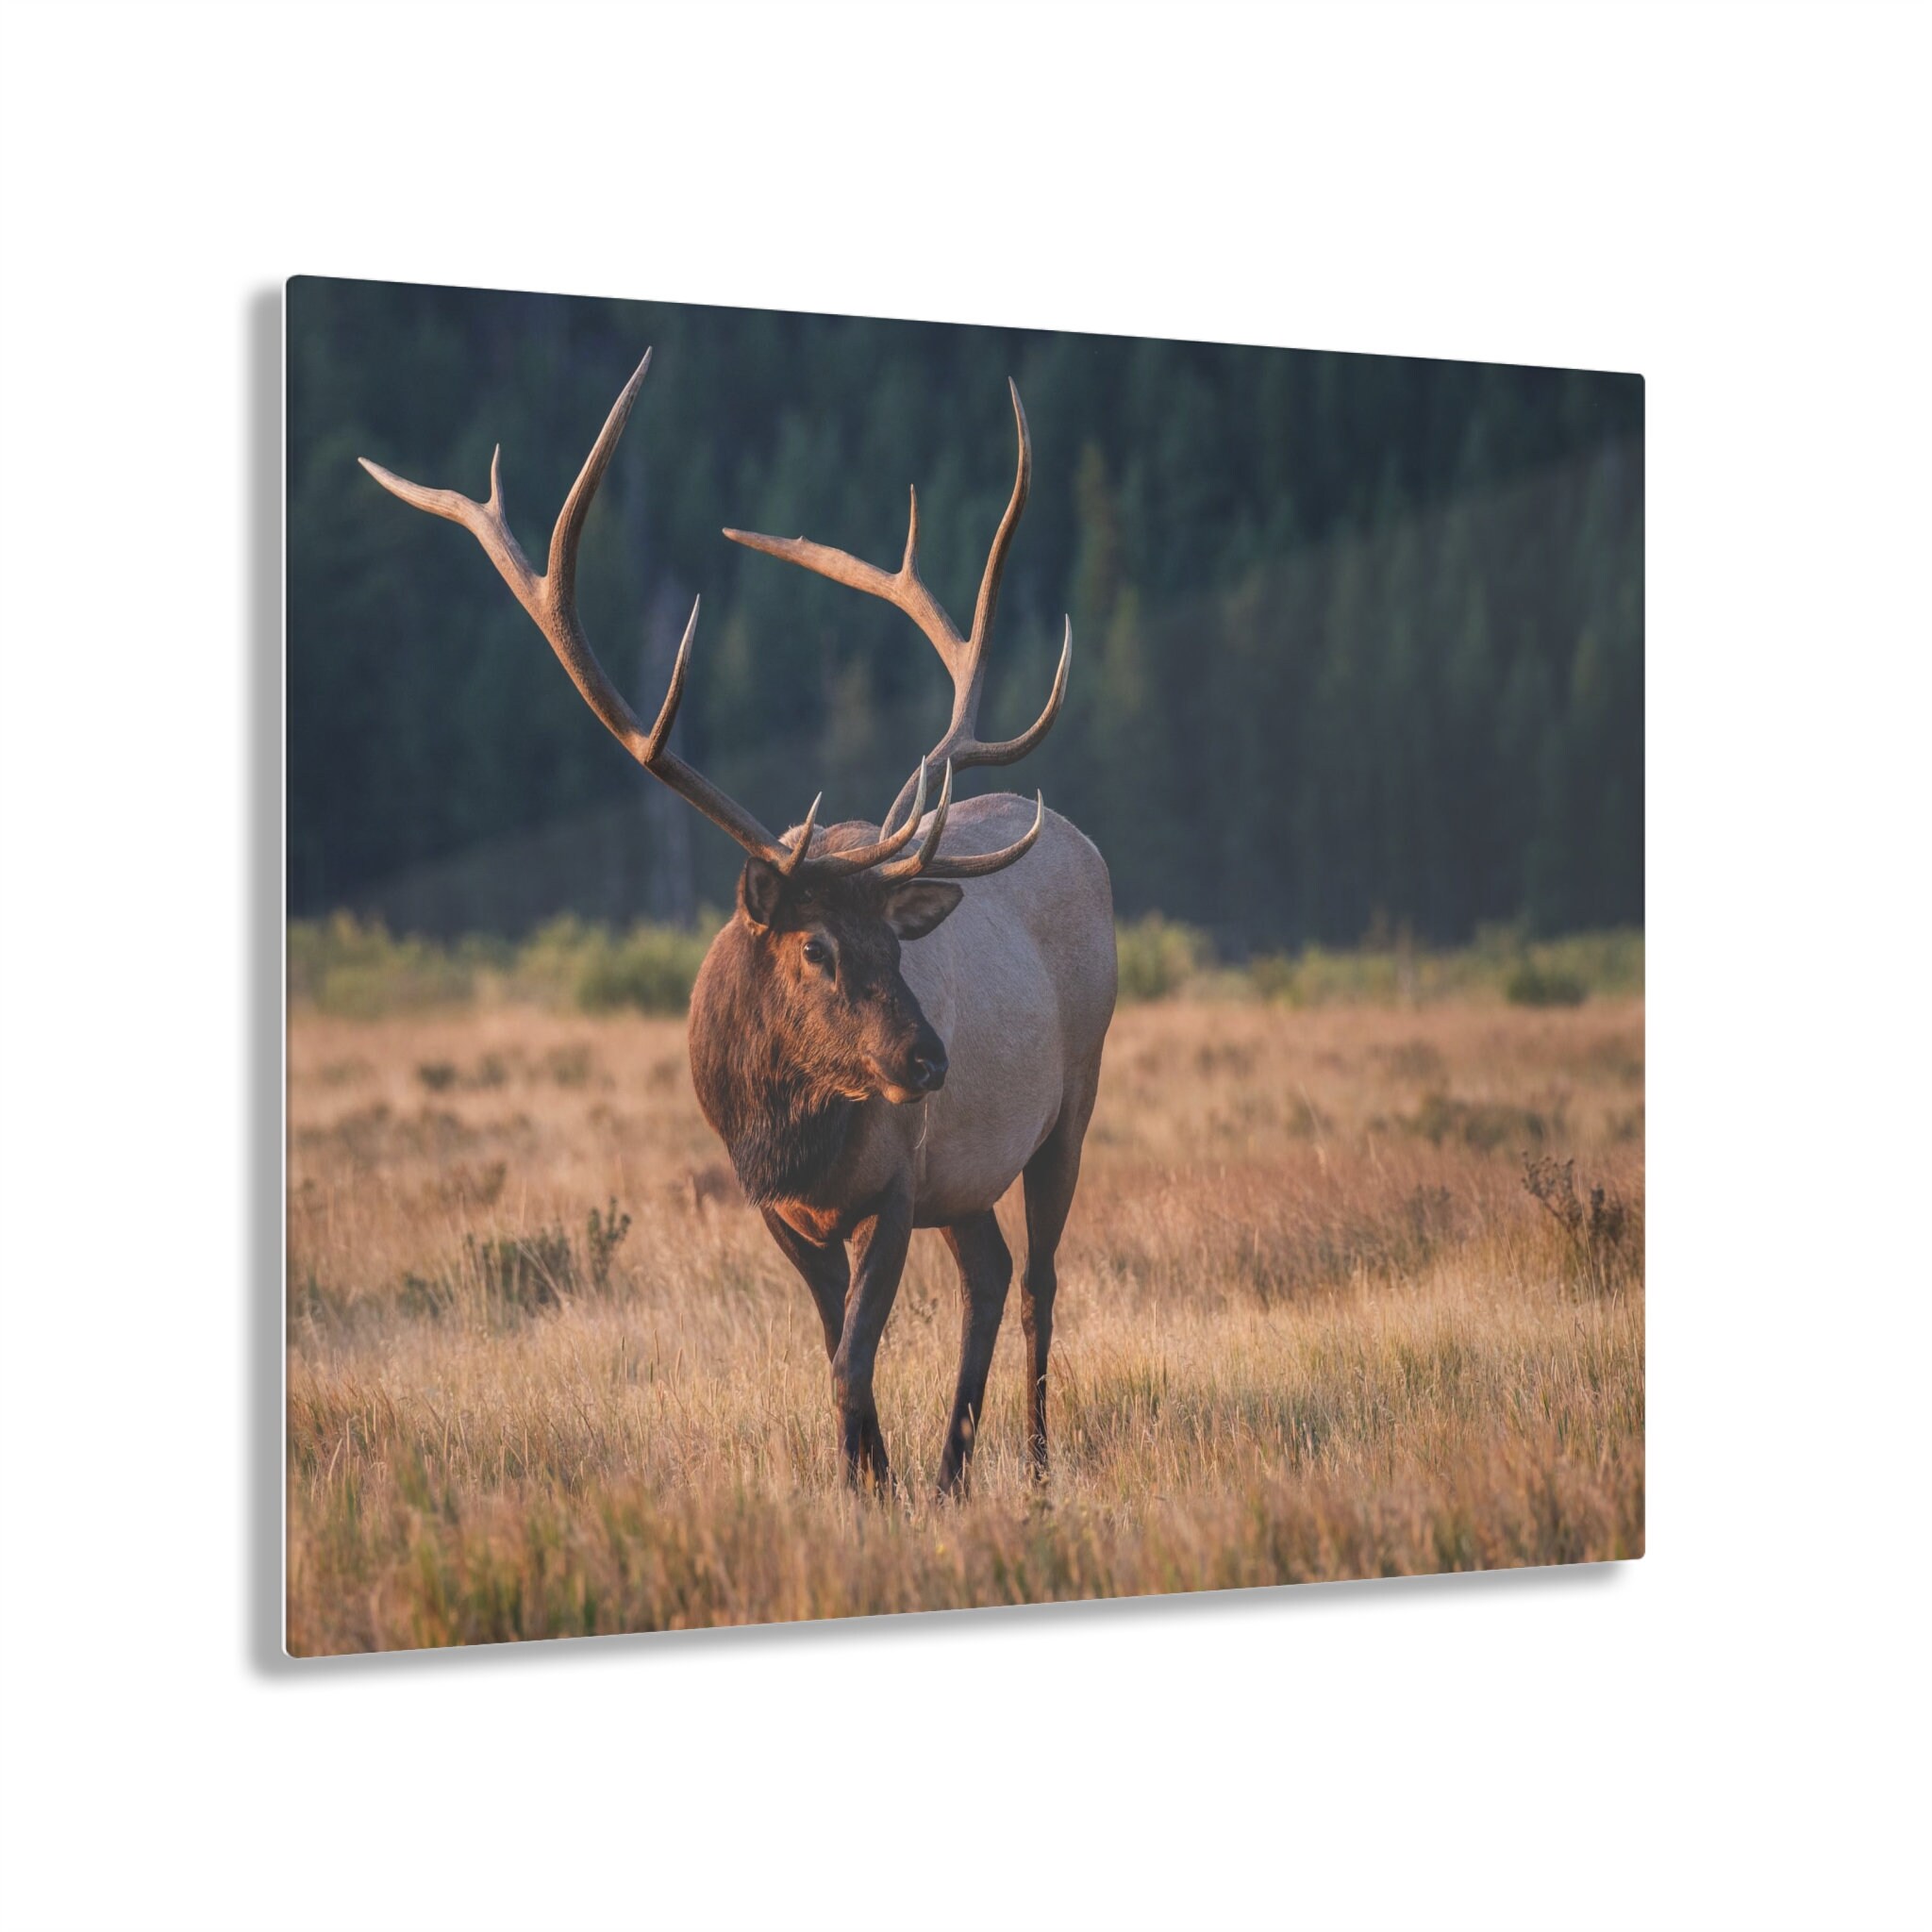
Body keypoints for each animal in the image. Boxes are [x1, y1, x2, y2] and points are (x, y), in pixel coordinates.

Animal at [360, 352, 1116, 1496]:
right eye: (817, 946)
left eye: (899, 945)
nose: (928, 1061)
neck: (792, 1132)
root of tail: (1086, 846)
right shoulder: (772, 1202)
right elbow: (836, 1353)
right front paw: (868, 1486)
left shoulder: (899, 1181)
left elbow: (852, 1359)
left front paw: (878, 1487)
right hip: (969, 1176)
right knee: (988, 1274)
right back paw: (951, 1474)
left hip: (1071, 1095)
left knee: (1037, 1281)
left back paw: (1026, 1472)